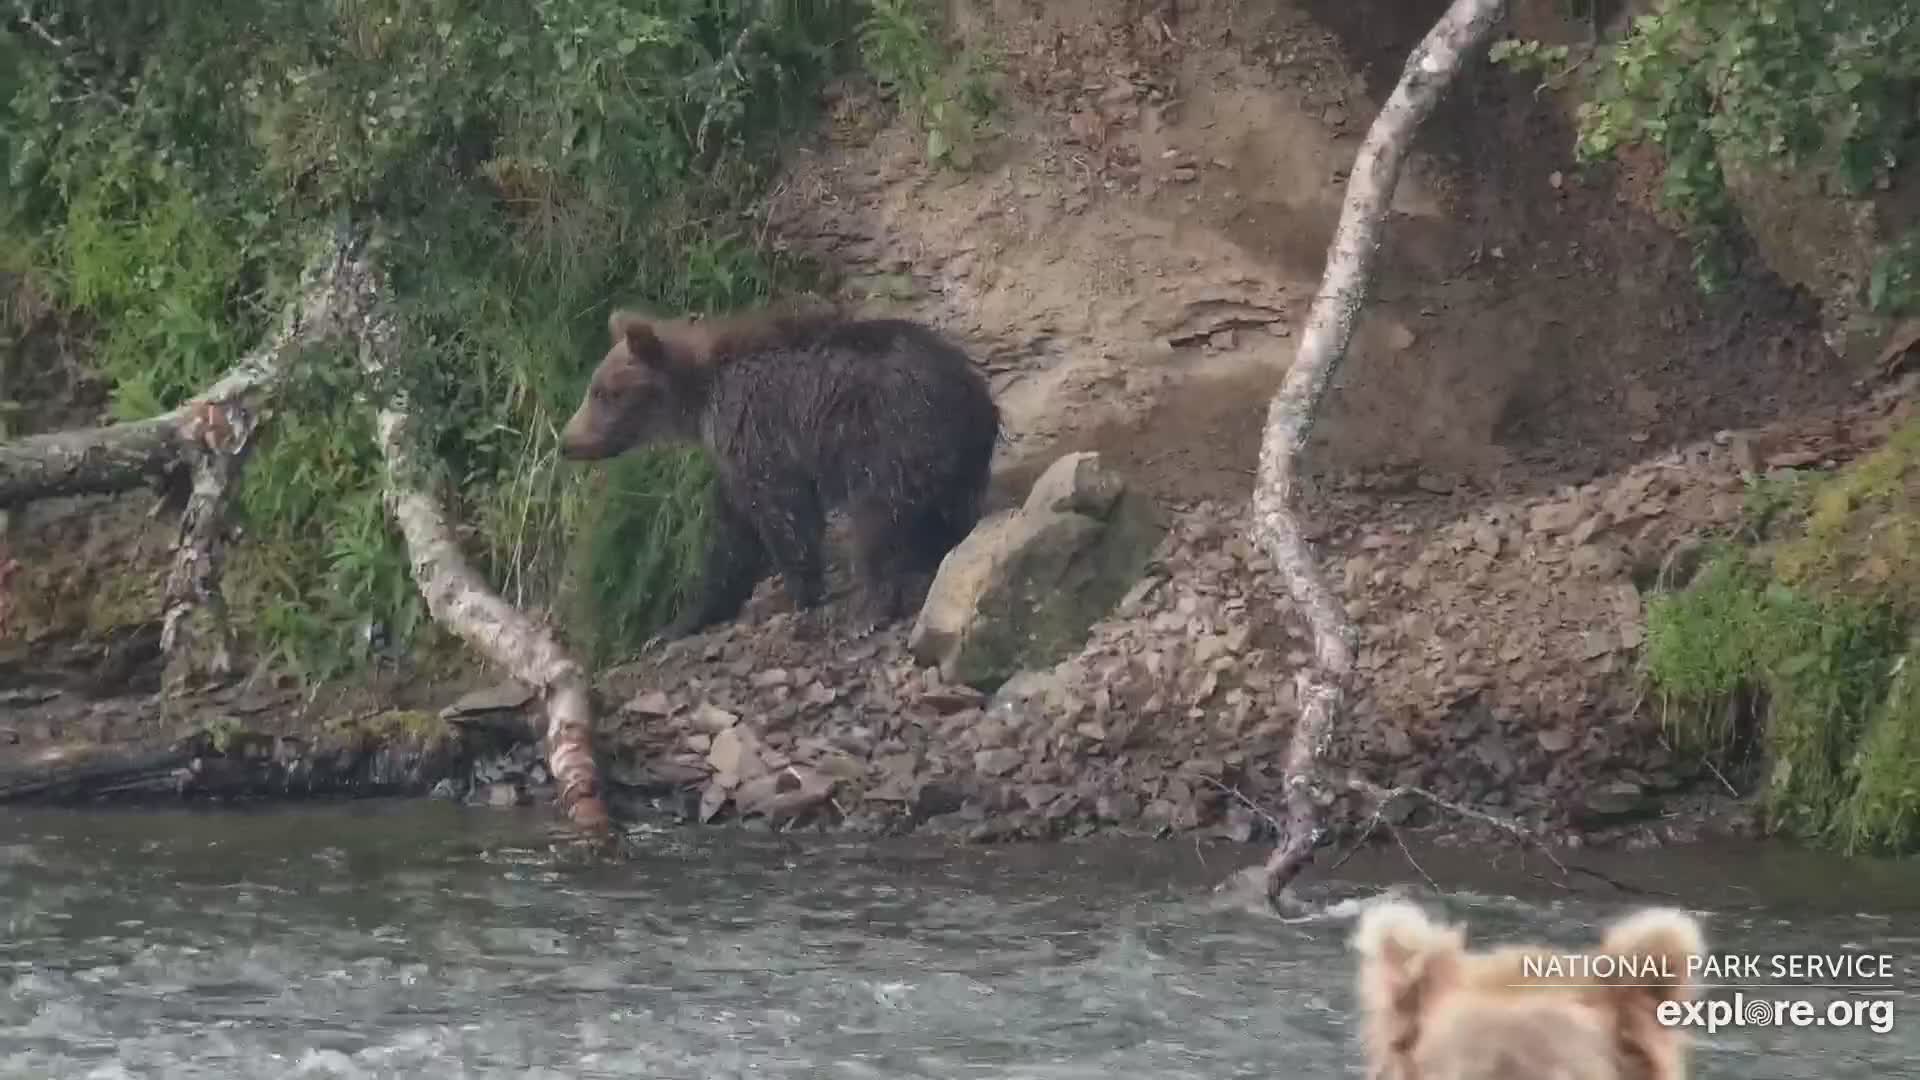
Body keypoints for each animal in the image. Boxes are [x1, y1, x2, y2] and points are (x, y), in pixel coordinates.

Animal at [560, 304, 1001, 639]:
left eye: (605, 393)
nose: (566, 442)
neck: (699, 397)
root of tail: (975, 395)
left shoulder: (755, 433)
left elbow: (783, 516)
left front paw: (800, 593)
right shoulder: (734, 458)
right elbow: (731, 537)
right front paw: (681, 621)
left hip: (888, 435)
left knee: (879, 517)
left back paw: (870, 609)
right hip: (951, 460)